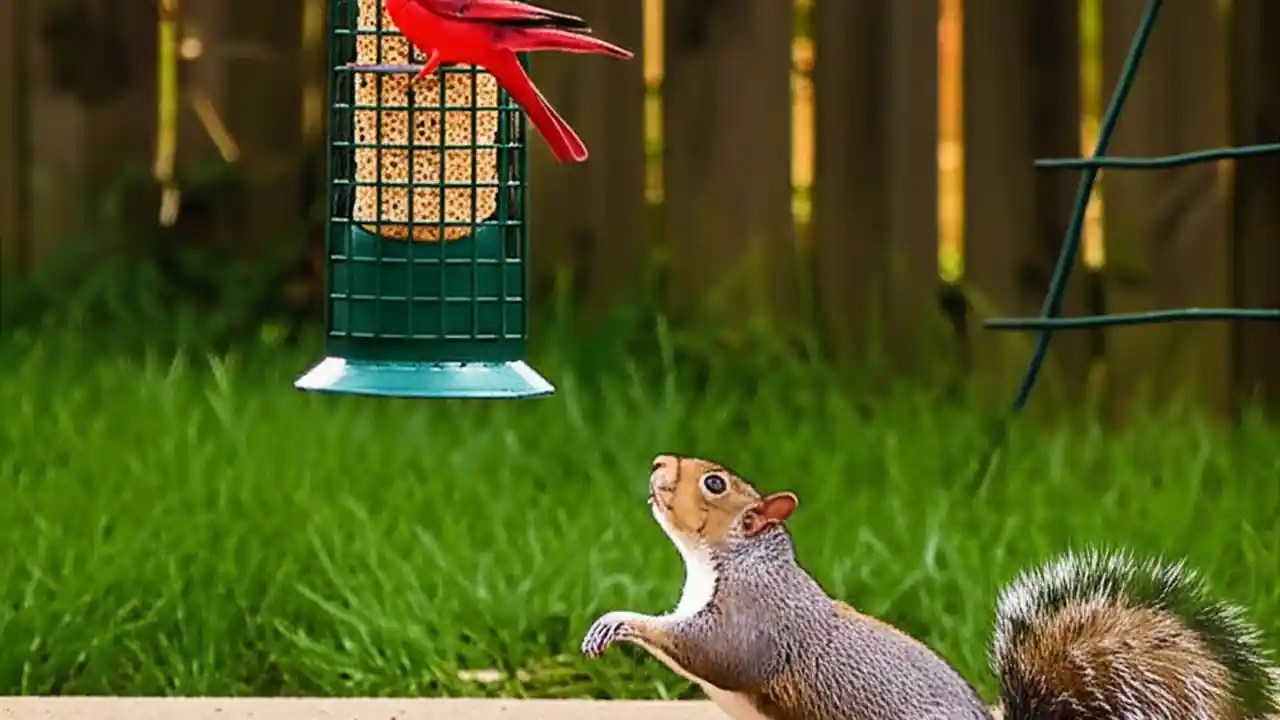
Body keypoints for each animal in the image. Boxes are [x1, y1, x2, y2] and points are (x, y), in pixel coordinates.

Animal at [580, 453, 1280, 720]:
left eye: (715, 483)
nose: (657, 464)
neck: (723, 562)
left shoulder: (756, 620)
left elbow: (713, 652)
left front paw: (619, 621)